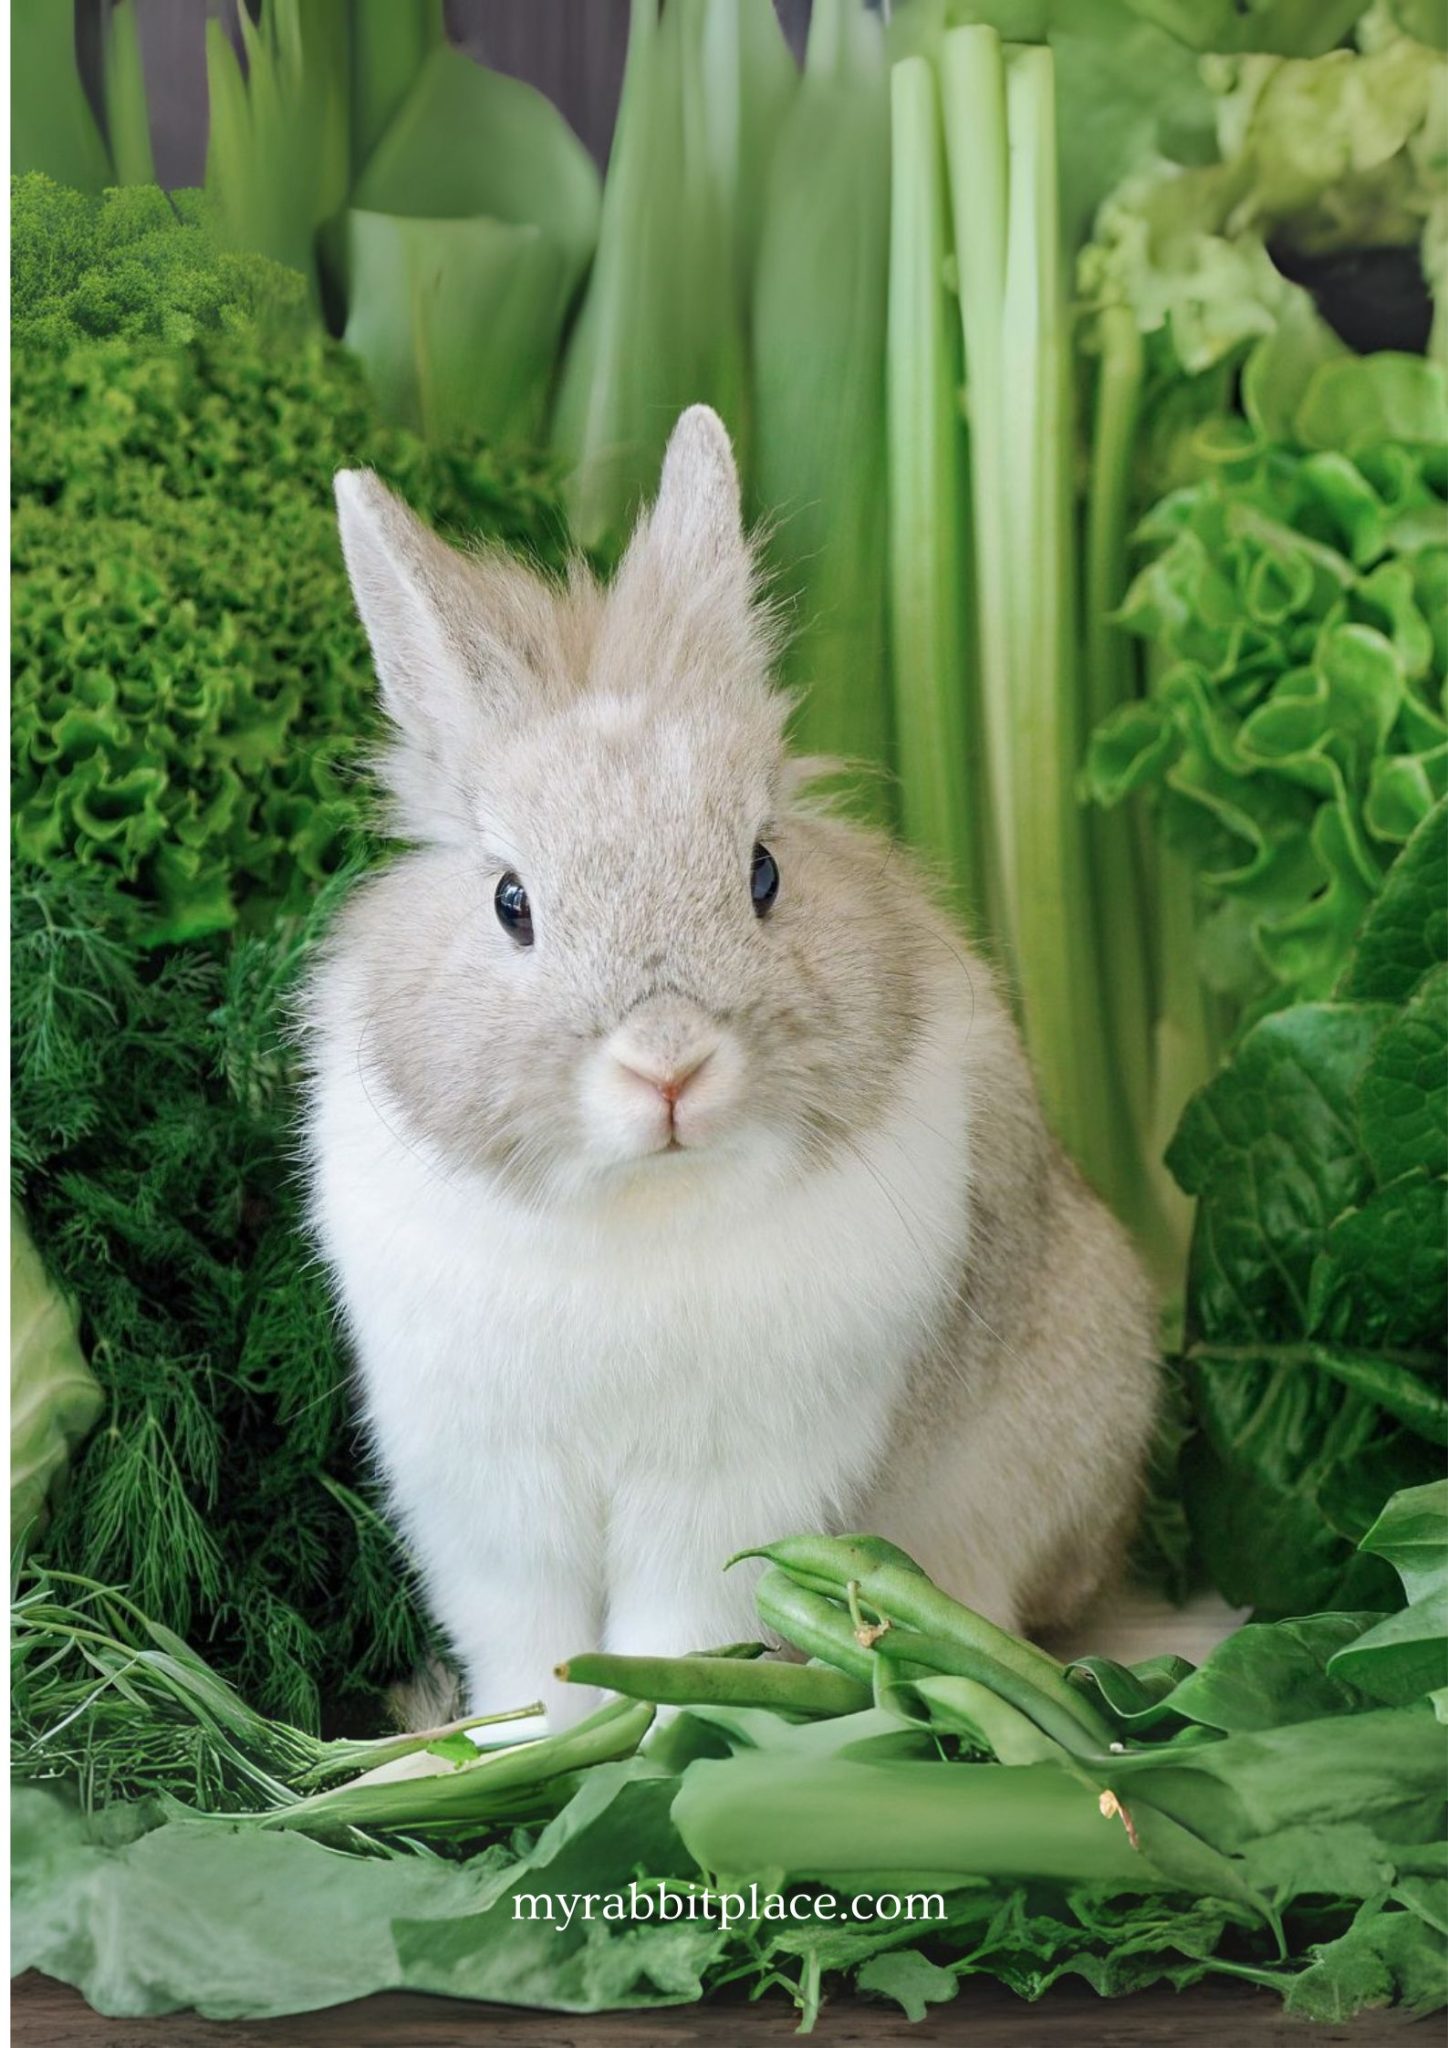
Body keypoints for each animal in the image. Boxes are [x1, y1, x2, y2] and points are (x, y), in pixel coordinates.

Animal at [304, 405, 1158, 1731]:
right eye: (511, 902)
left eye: (762, 870)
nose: (668, 1069)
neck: (636, 1206)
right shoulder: (488, 1493)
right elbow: (528, 1648)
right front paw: (512, 1742)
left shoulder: (729, 1486)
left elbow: (666, 1632)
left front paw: (642, 1734)